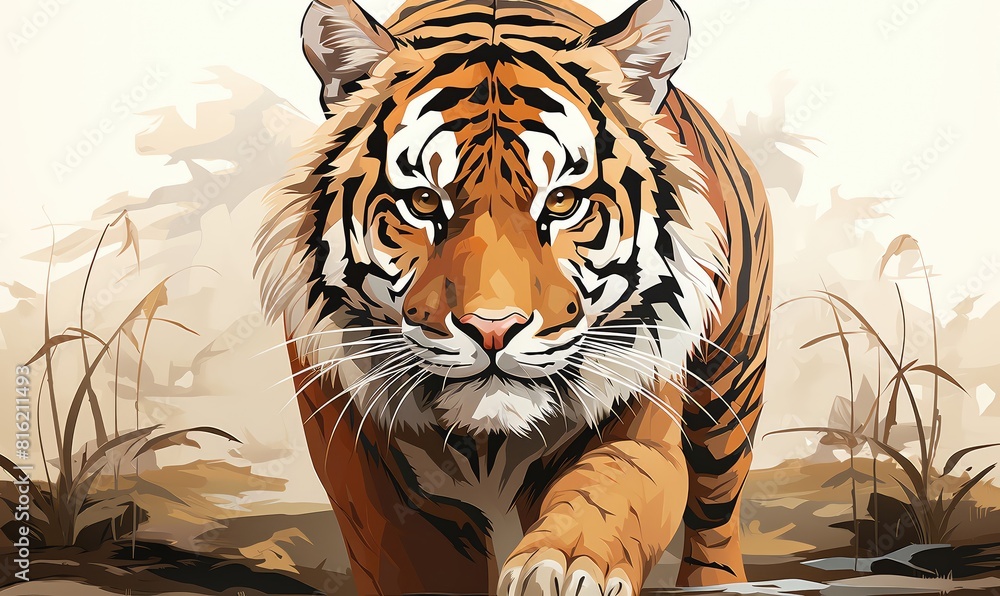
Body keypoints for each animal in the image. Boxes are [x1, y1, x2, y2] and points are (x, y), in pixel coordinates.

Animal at [254, 0, 772, 594]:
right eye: (423, 201)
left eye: (563, 200)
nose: (493, 329)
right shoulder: (362, 465)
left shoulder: (642, 415)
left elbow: (609, 492)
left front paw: (563, 568)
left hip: (730, 394)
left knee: (716, 511)